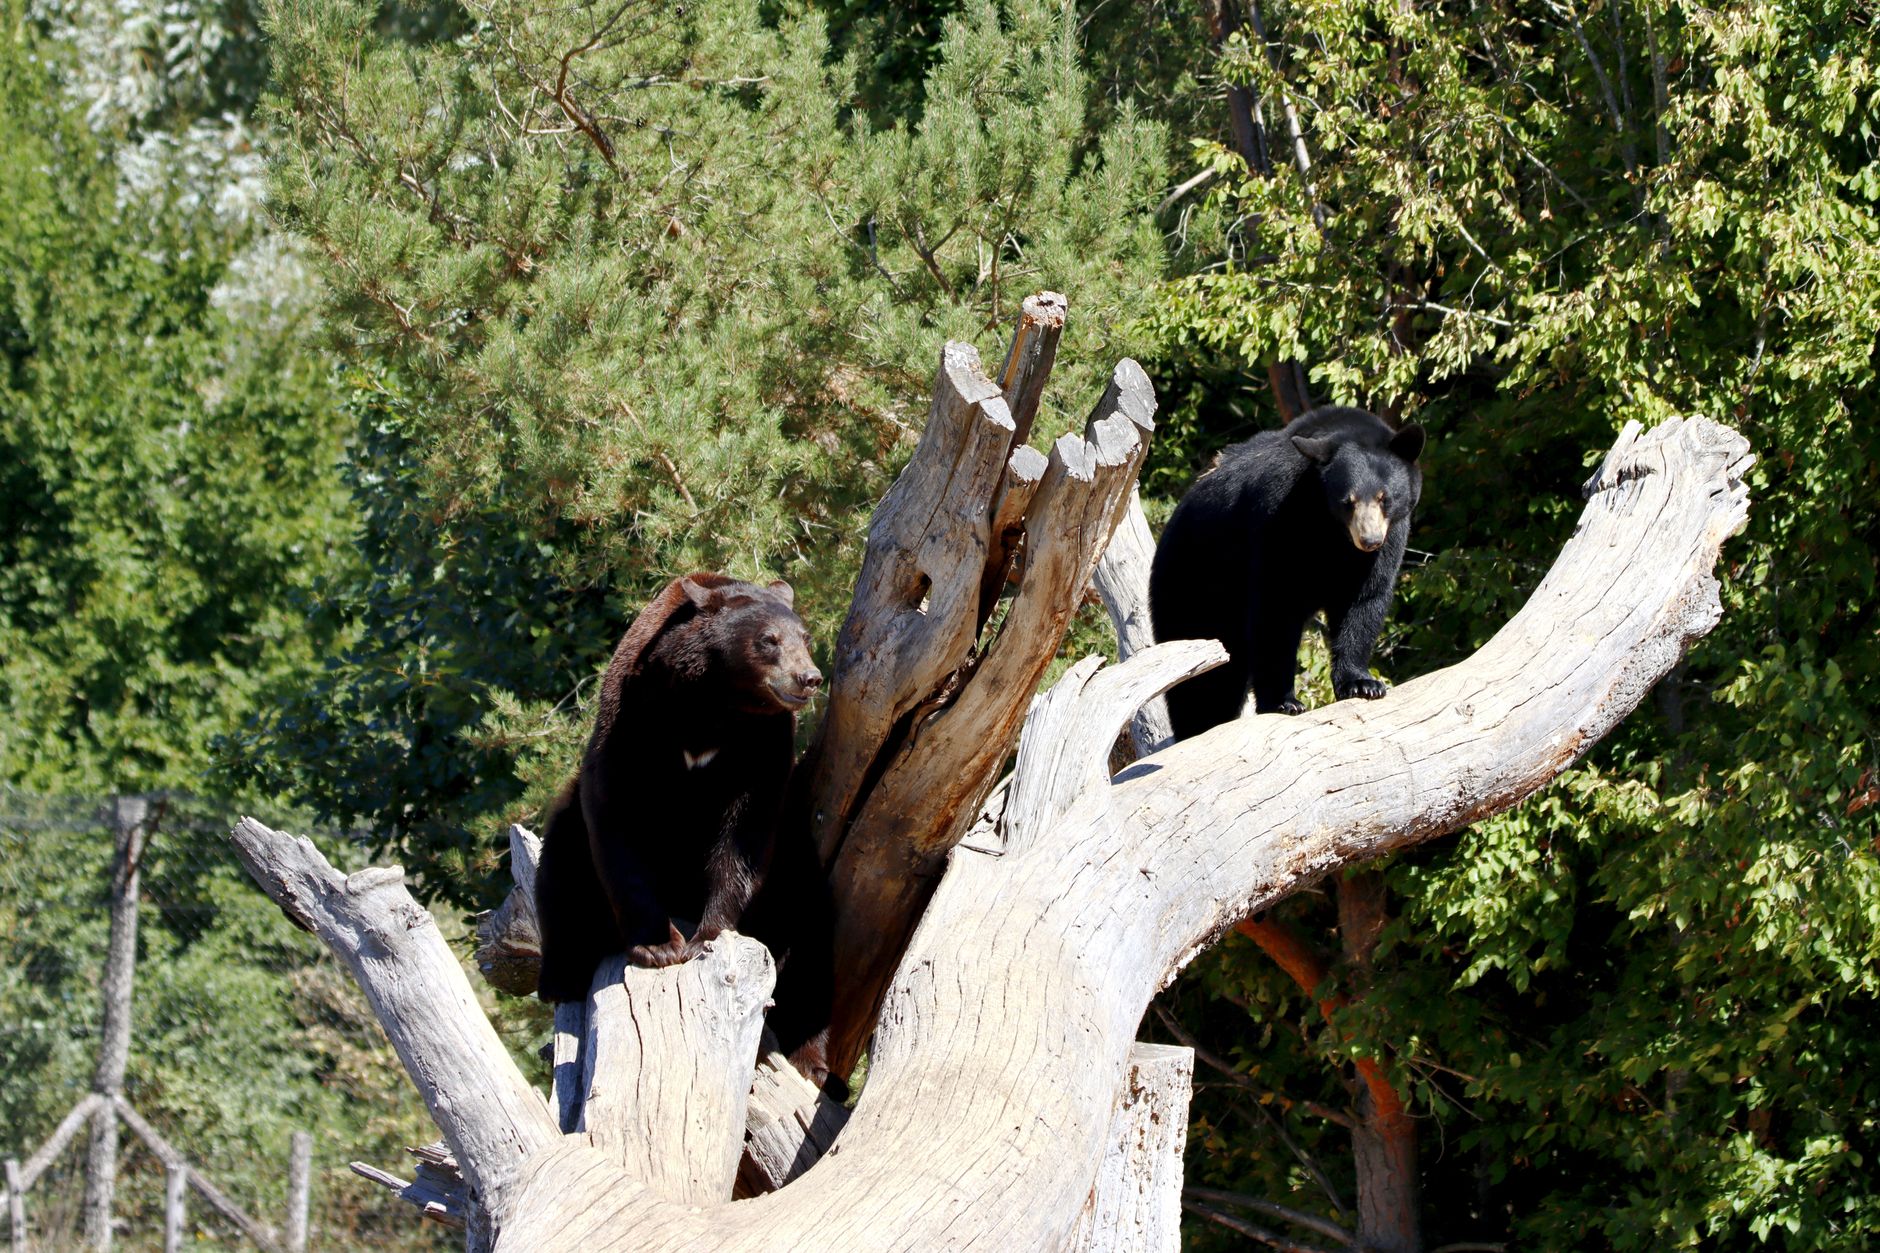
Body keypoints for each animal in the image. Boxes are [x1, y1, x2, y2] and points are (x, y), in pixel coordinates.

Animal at [532, 571, 839, 1086]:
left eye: (806, 637)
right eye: (768, 640)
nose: (809, 678)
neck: (712, 708)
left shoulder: (763, 748)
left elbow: (744, 835)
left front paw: (707, 934)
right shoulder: (635, 720)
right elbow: (616, 816)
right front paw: (659, 945)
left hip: (797, 863)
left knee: (814, 933)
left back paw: (810, 1060)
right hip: (569, 830)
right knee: (560, 866)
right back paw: (561, 974)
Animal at [1149, 406, 1424, 740]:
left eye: (1385, 498)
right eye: (1347, 501)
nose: (1368, 540)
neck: (1333, 533)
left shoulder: (1388, 540)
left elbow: (1363, 600)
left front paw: (1362, 684)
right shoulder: (1280, 518)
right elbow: (1276, 606)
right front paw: (1283, 702)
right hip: (1192, 582)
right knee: (1200, 679)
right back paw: (1198, 728)